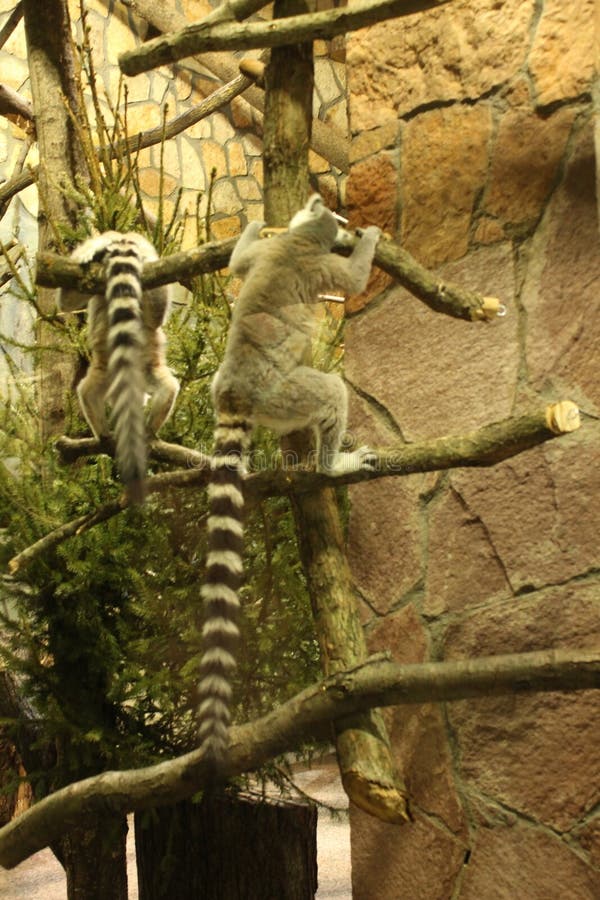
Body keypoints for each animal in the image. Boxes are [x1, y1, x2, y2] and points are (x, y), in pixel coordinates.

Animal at [197, 194, 381, 766]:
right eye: (338, 221)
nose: (343, 224)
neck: (298, 241)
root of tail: (235, 391)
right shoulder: (316, 264)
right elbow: (354, 278)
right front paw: (372, 238)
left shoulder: (267, 257)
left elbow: (240, 265)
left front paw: (253, 224)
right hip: (286, 394)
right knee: (330, 392)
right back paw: (331, 464)